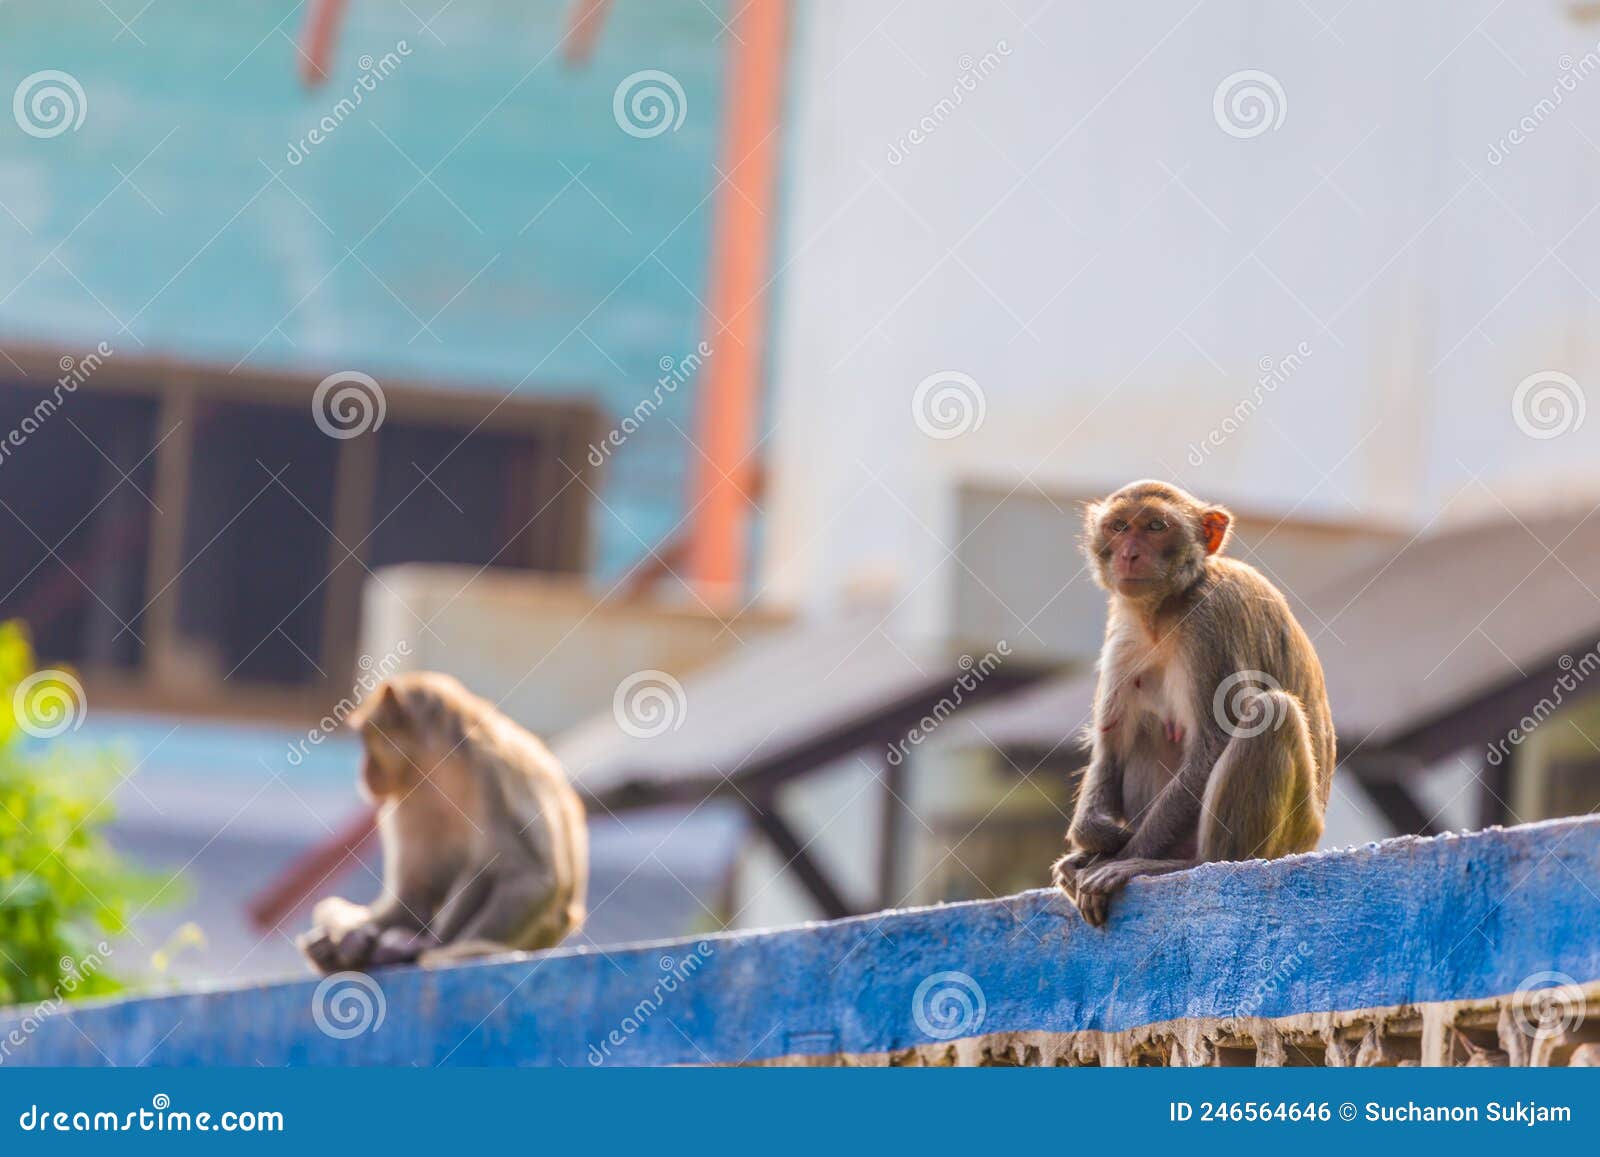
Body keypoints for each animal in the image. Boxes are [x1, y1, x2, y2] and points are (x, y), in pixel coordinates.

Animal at [296, 671, 587, 973]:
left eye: (368, 740)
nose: (363, 772)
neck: (439, 765)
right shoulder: (406, 801)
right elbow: (412, 895)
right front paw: (345, 938)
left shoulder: (492, 774)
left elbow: (529, 874)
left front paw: (445, 952)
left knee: (485, 866)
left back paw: (409, 947)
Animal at [1049, 480, 1335, 927]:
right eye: (1118, 526)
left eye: (1155, 526)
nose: (1129, 554)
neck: (1165, 610)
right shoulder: (1124, 631)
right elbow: (1110, 750)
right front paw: (1093, 839)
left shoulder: (1212, 620)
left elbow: (1214, 743)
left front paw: (1112, 858)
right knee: (1146, 729)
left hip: (1290, 835)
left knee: (1273, 713)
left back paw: (1193, 863)